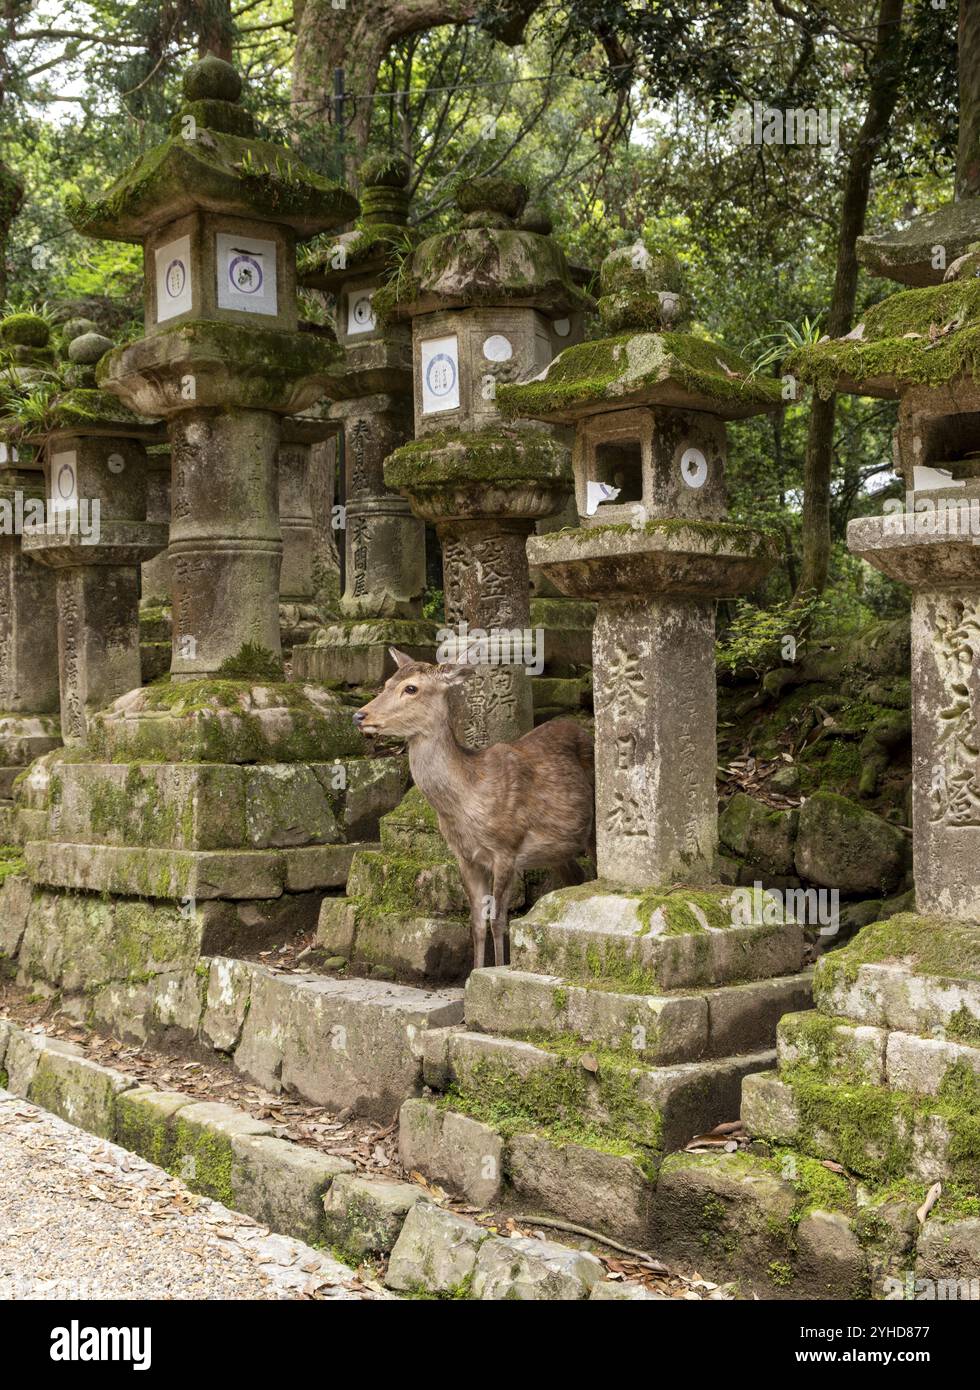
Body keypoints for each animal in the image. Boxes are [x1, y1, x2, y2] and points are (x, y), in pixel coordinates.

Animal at [353, 649, 596, 972]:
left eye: (411, 688)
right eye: (387, 683)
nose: (359, 715)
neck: (466, 803)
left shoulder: (507, 850)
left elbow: (498, 921)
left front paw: (495, 970)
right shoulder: (465, 857)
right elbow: (477, 923)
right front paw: (475, 972)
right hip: (558, 851)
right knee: (577, 878)